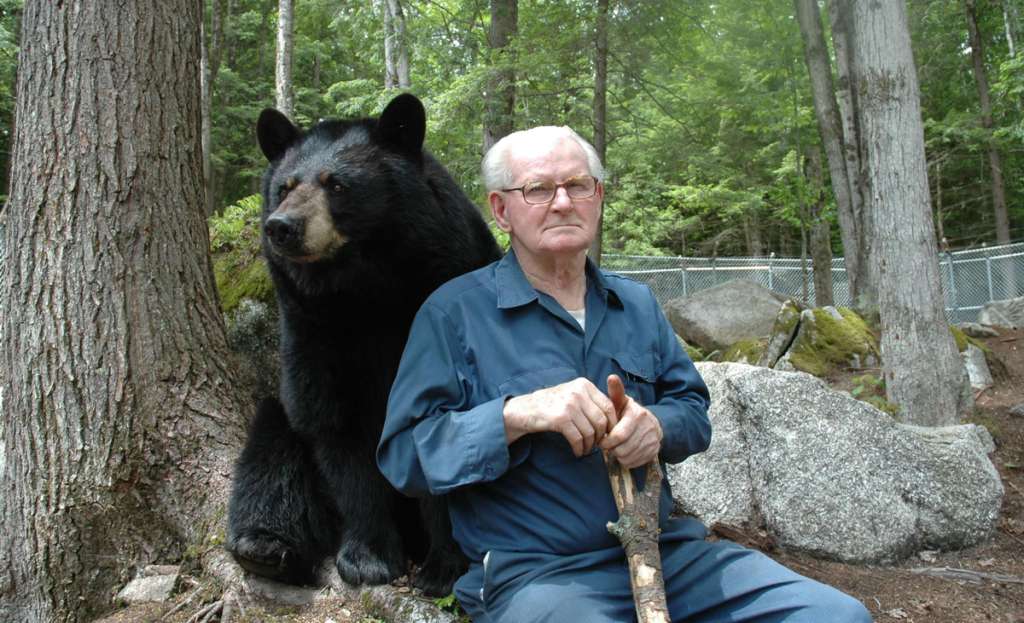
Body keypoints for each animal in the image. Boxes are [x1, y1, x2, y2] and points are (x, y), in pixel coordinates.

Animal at [225, 93, 501, 597]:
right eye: (284, 187)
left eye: (335, 184)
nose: (282, 226)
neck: (363, 294)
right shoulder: (314, 332)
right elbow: (335, 431)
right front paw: (368, 558)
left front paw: (445, 567)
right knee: (271, 448)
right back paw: (265, 545)